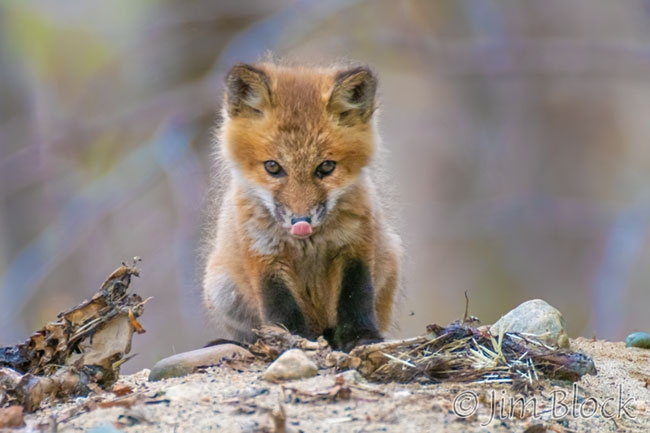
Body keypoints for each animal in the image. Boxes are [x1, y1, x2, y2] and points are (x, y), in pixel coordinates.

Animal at [203, 61, 402, 351]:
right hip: (221, 289)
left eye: (326, 167)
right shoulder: (263, 254)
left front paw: (361, 337)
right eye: (273, 167)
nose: (300, 222)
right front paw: (293, 340)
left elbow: (355, 297)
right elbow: (281, 308)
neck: (308, 244)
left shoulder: (355, 244)